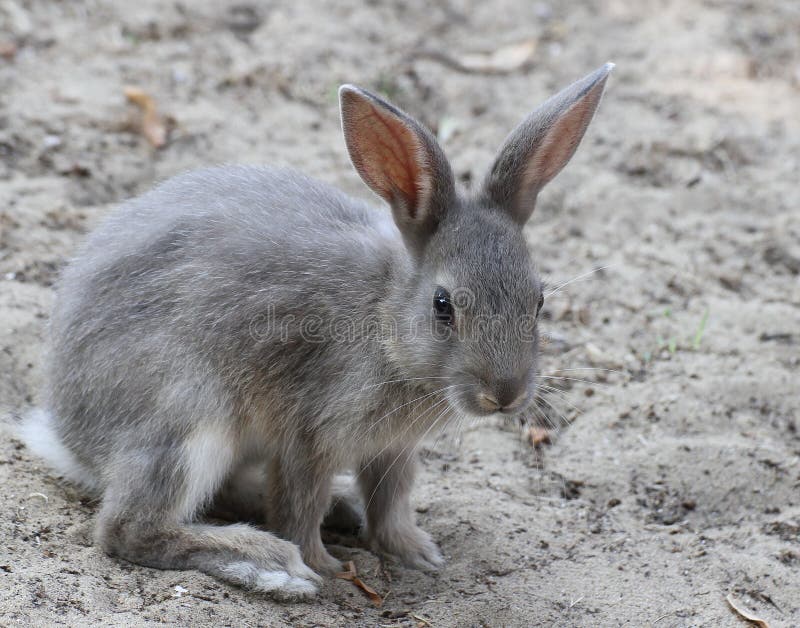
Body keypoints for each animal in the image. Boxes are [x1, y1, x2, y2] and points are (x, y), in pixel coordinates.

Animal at [19, 63, 613, 598]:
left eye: (539, 300)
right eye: (443, 306)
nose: (505, 395)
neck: (384, 317)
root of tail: (71, 436)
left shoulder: (392, 449)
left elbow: (390, 499)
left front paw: (414, 552)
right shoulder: (311, 432)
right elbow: (299, 504)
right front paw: (323, 567)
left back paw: (340, 511)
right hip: (188, 415)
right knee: (127, 529)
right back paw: (270, 563)